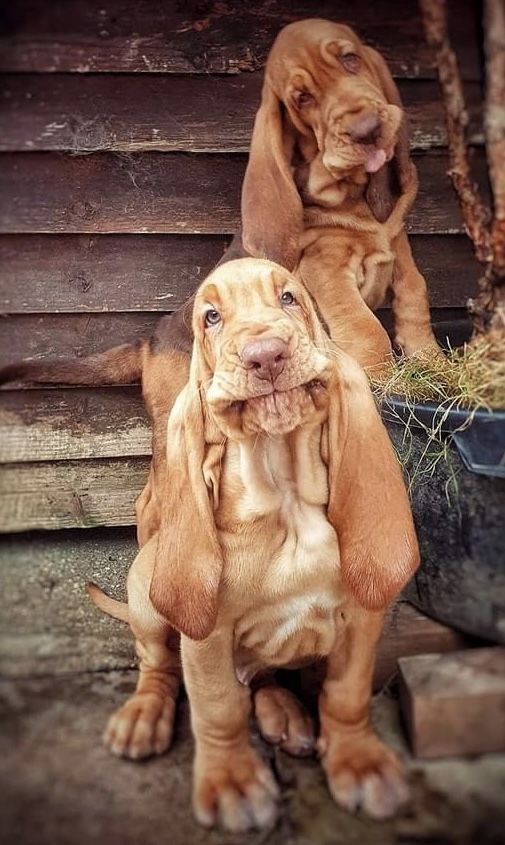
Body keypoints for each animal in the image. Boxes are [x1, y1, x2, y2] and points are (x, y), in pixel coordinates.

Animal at [89, 258, 418, 832]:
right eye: (211, 316)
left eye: (289, 298)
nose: (265, 355)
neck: (286, 502)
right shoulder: (207, 638)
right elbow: (218, 708)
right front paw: (232, 782)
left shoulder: (362, 618)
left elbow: (347, 694)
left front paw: (360, 762)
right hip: (147, 592)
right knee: (158, 664)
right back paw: (144, 715)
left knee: (262, 680)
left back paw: (283, 714)